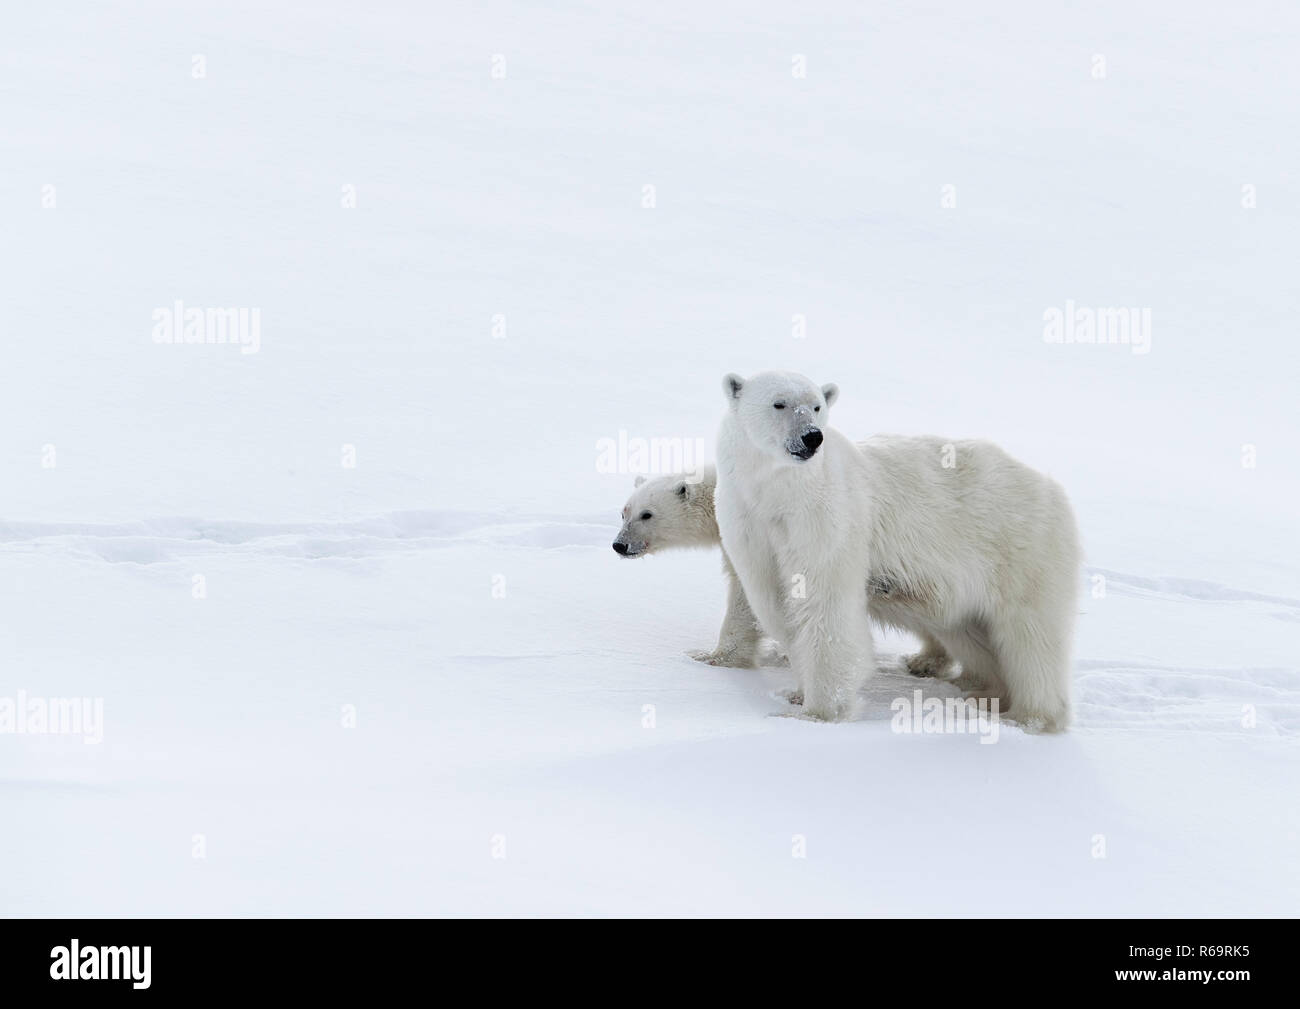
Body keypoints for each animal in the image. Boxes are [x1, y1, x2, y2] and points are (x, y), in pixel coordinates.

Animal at [714, 370, 1080, 730]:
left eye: (817, 406)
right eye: (779, 403)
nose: (812, 437)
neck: (777, 493)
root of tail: (1053, 490)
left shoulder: (825, 518)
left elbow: (826, 602)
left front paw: (817, 713)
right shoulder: (749, 521)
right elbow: (773, 599)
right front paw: (797, 692)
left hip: (1019, 550)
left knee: (1030, 637)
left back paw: (1029, 716)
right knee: (969, 631)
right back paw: (983, 692)